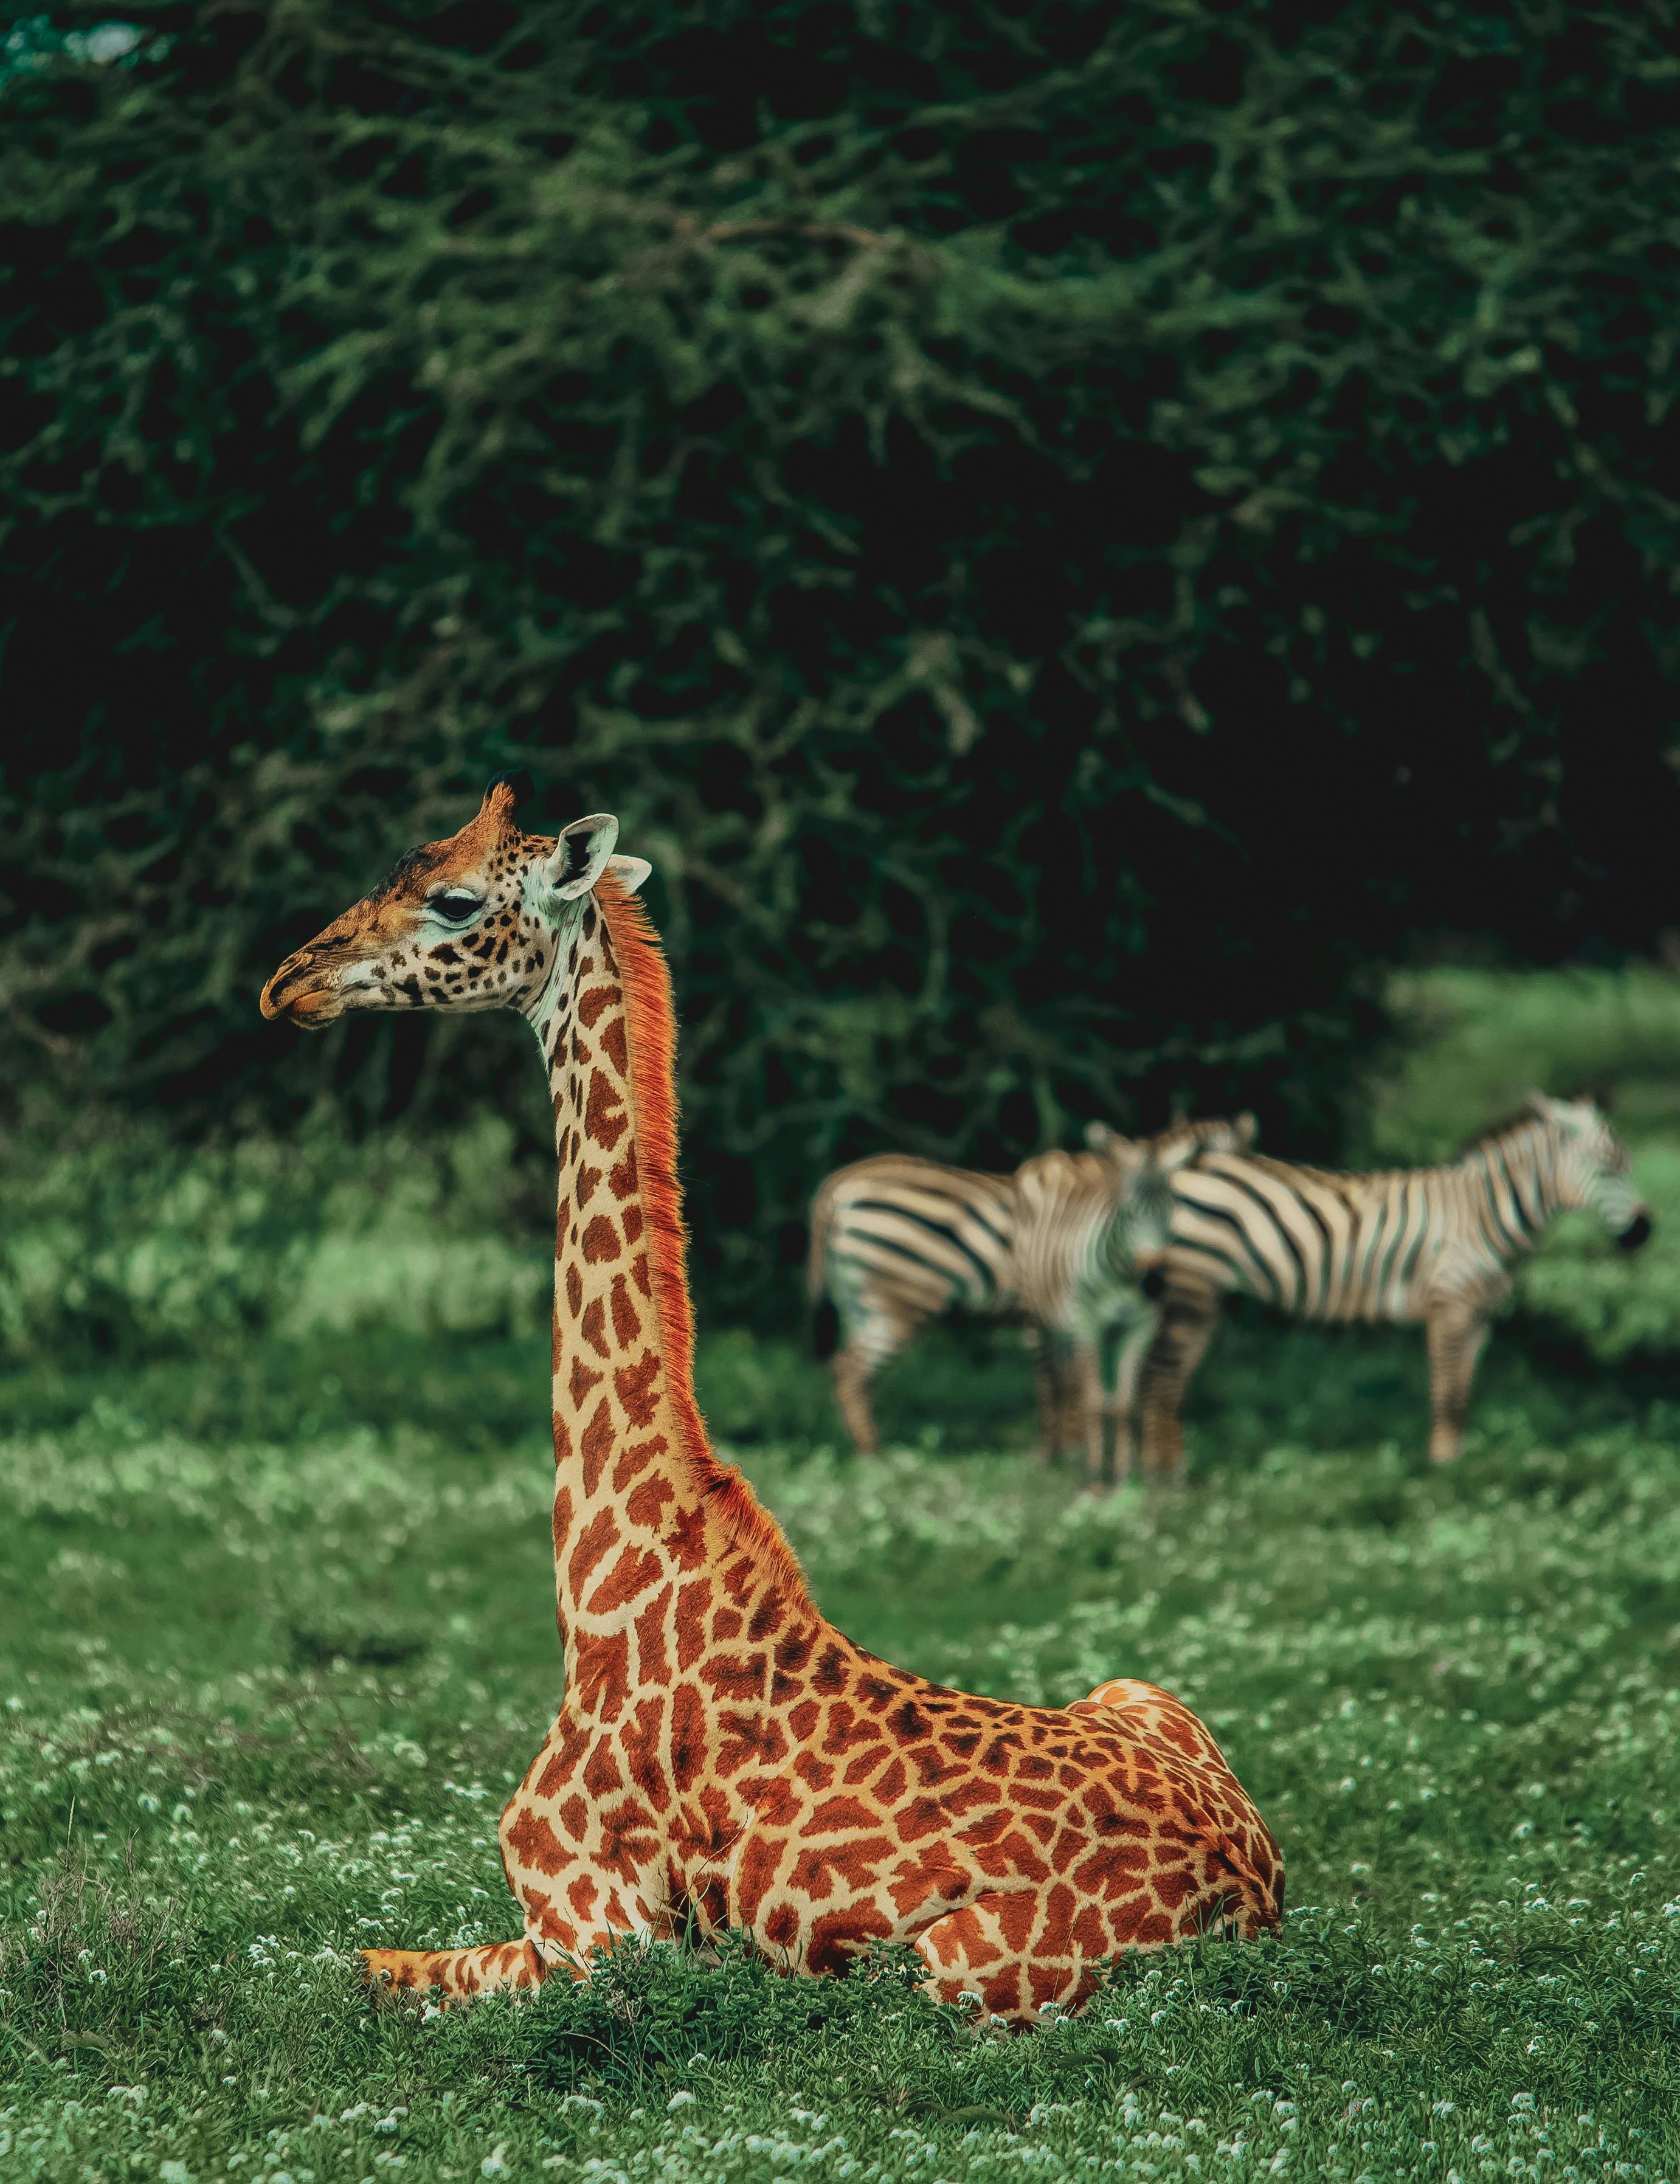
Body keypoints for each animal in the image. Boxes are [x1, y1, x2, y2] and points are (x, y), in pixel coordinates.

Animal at [260, 777, 1283, 2023]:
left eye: (452, 899)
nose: (290, 980)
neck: (605, 1589)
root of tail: (1252, 1891)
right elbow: (354, 1962)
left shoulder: (598, 1936)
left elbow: (369, 1970)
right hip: (1134, 1685)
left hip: (953, 1969)